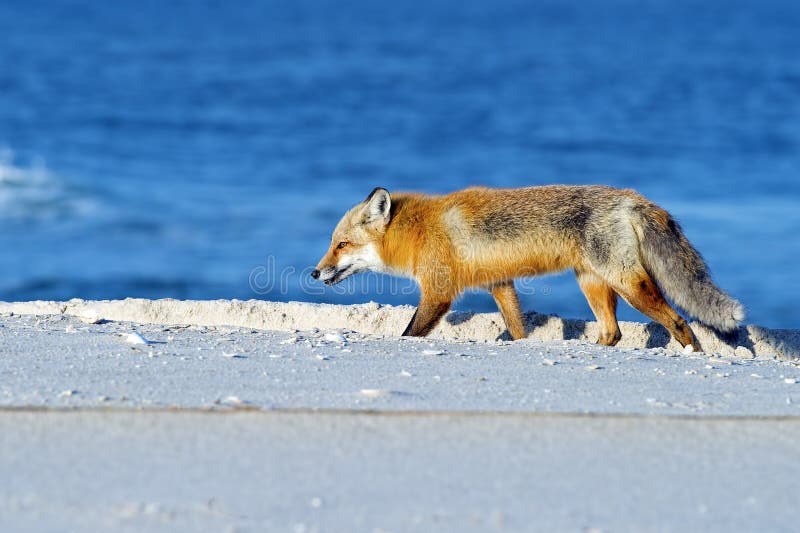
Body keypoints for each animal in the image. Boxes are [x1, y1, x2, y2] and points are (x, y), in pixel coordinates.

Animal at [311, 185, 744, 351]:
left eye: (341, 245)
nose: (314, 273)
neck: (419, 230)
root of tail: (634, 199)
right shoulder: (500, 284)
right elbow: (518, 328)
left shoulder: (438, 291)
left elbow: (410, 332)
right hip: (593, 283)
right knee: (613, 332)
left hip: (628, 284)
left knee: (680, 322)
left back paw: (692, 355)